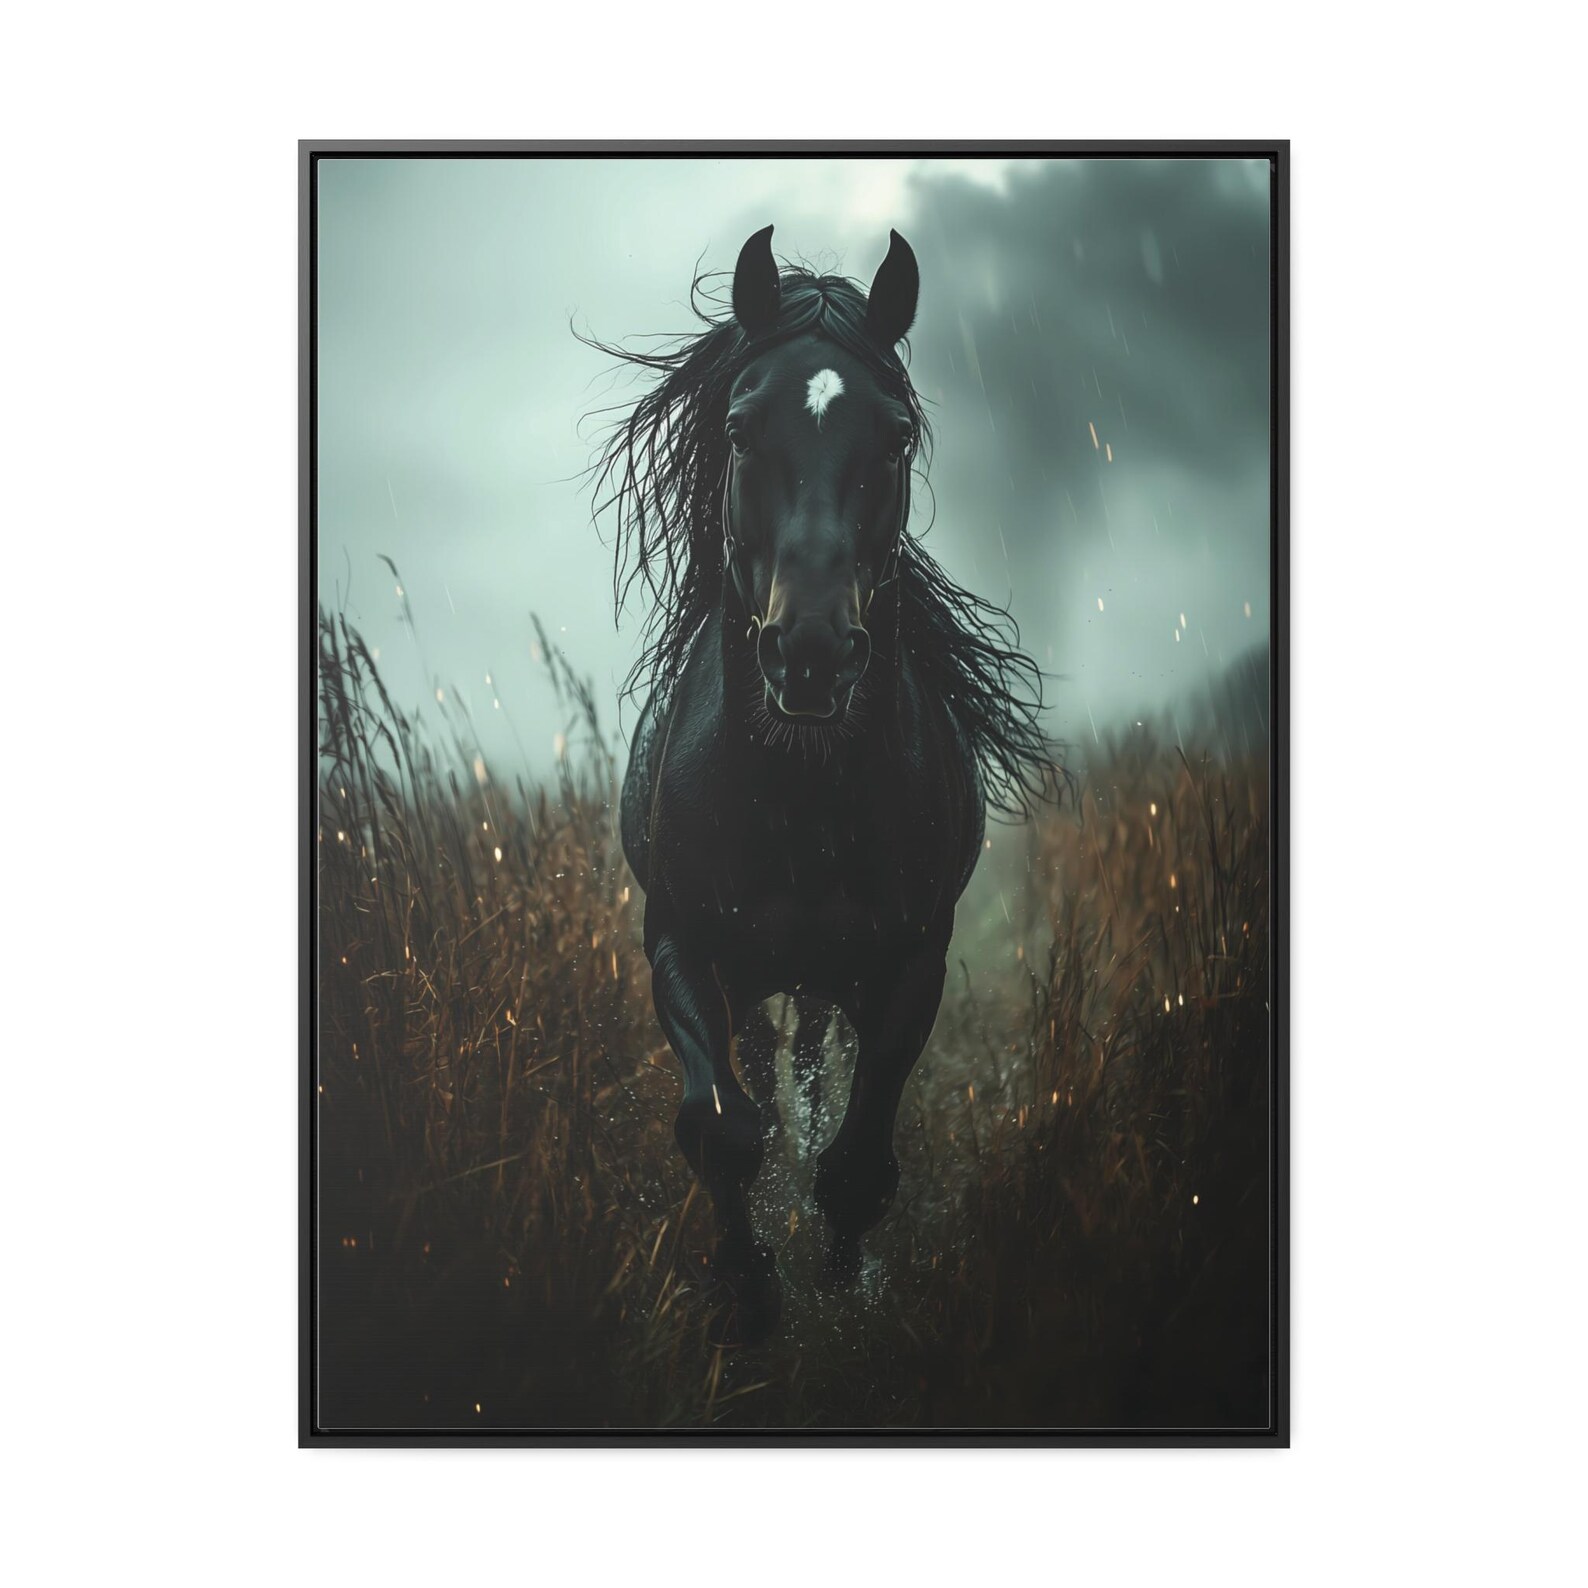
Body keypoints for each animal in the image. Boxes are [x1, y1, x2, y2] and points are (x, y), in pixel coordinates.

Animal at [587, 225, 1061, 1344]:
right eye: (740, 428)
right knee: (762, 1066)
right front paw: (748, 1287)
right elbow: (717, 1126)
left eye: (895, 438)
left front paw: (842, 1283)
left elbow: (860, 1157)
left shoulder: (913, 957)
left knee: (805, 1063)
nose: (808, 654)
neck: (799, 803)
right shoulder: (677, 939)